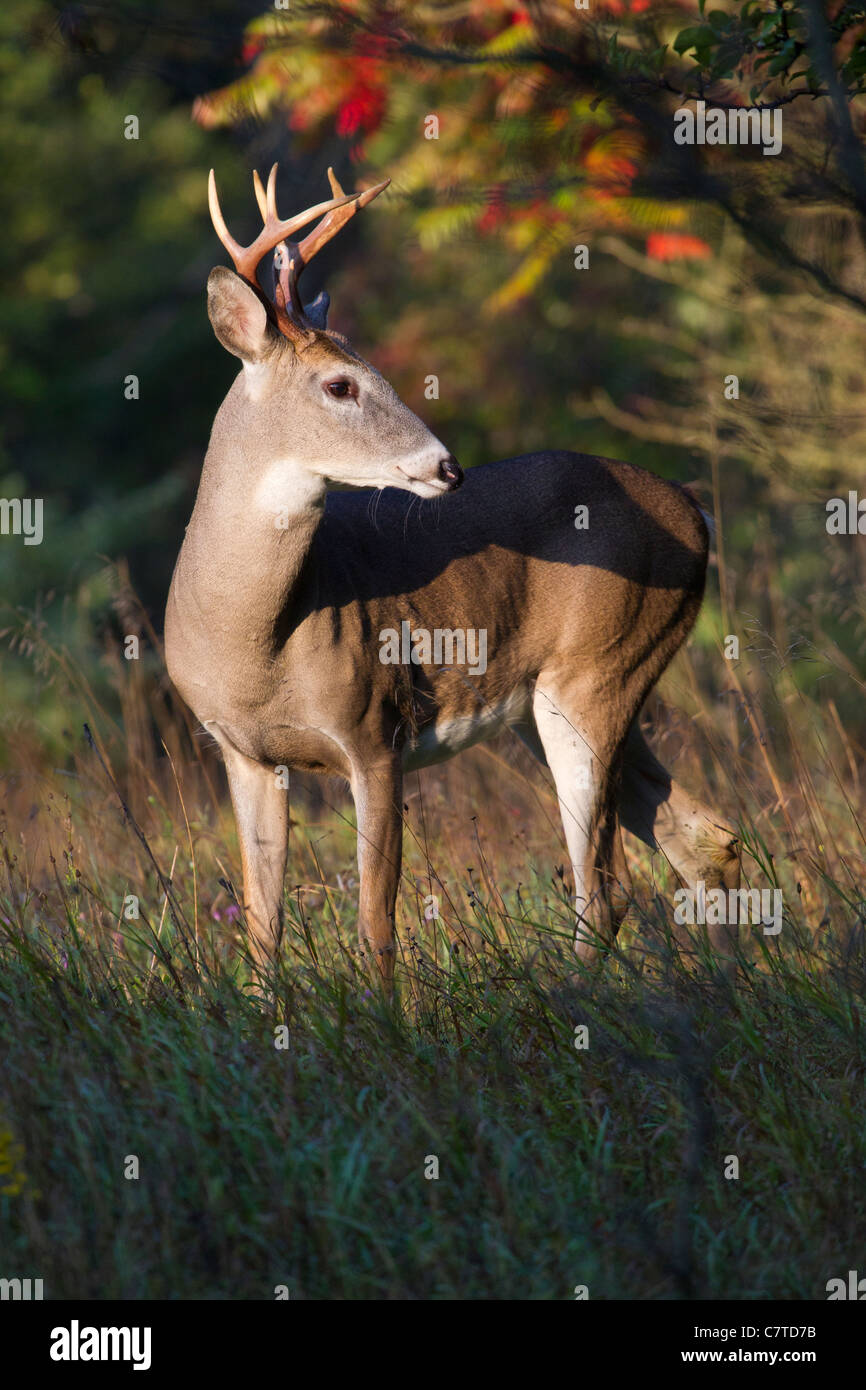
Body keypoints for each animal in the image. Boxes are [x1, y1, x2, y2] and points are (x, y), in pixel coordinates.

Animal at [164, 164, 740, 988]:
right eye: (341, 385)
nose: (448, 467)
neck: (256, 638)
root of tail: (695, 511)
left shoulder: (375, 730)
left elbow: (375, 921)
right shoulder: (244, 754)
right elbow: (261, 930)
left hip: (598, 670)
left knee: (605, 888)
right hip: (559, 699)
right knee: (702, 837)